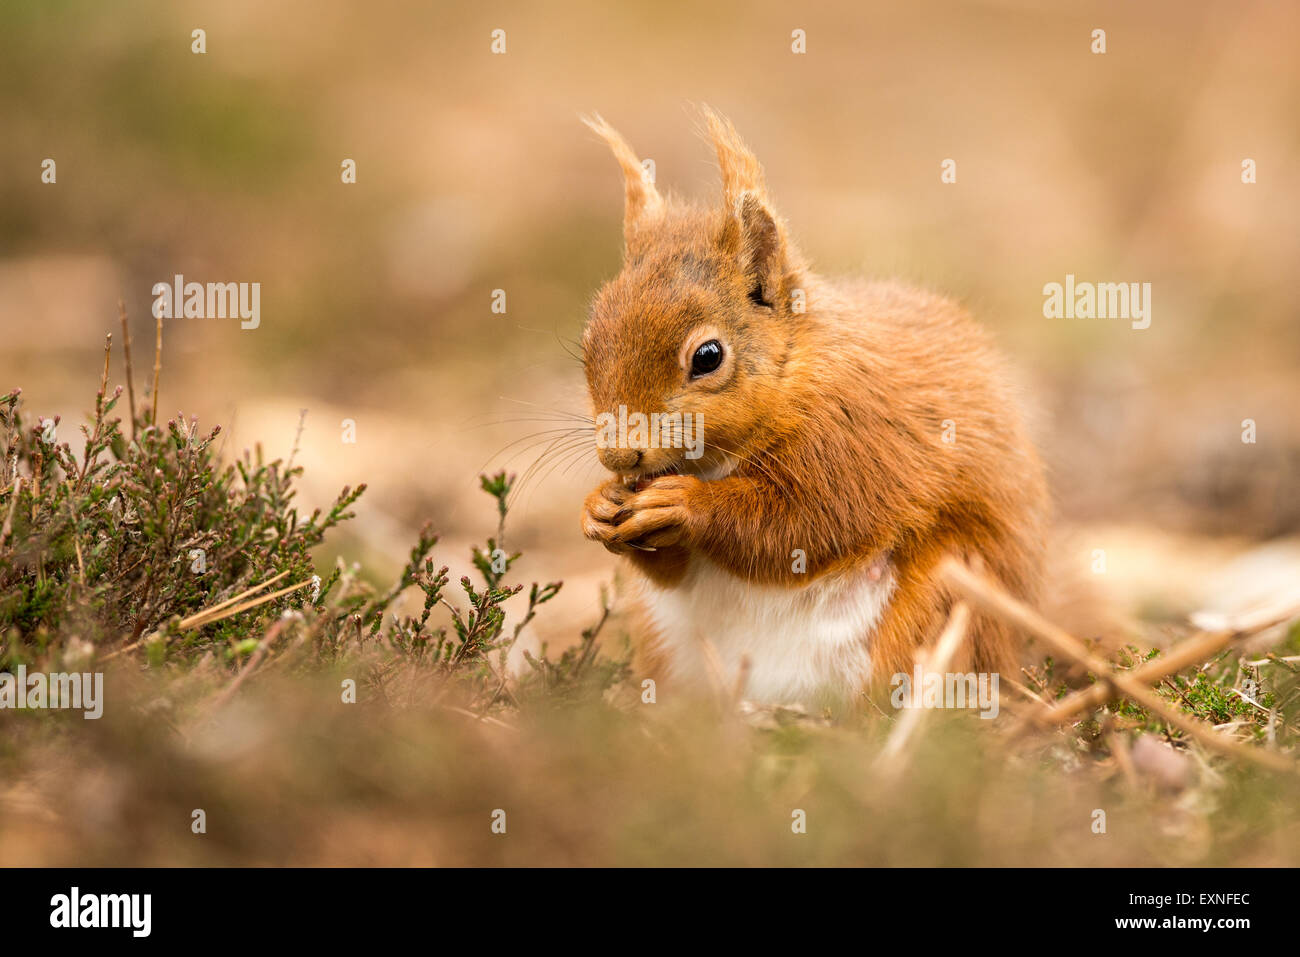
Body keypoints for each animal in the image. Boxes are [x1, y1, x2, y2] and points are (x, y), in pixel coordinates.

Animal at [578, 109, 1049, 708]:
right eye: (588, 343)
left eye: (708, 356)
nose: (619, 456)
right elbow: (675, 571)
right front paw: (597, 506)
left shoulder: (857, 432)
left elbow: (813, 520)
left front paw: (684, 504)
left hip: (943, 602)